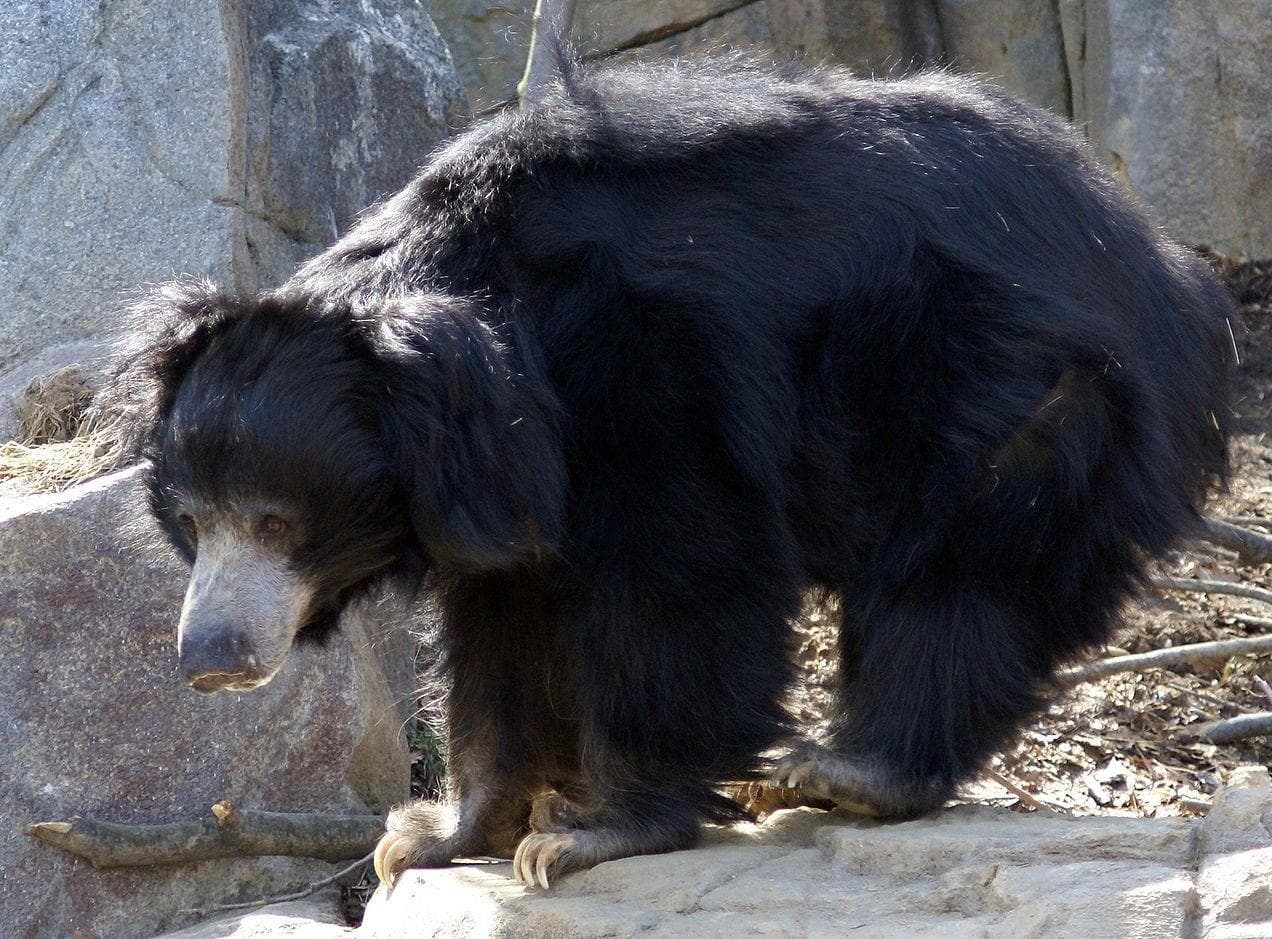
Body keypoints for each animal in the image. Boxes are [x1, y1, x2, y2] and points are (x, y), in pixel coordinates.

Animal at [99, 57, 1230, 888]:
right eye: (192, 520)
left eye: (274, 520)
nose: (209, 658)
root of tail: (1159, 259)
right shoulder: (498, 495)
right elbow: (501, 633)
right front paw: (431, 833)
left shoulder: (654, 381)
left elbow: (677, 580)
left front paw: (587, 832)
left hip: (1009, 386)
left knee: (963, 576)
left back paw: (844, 769)